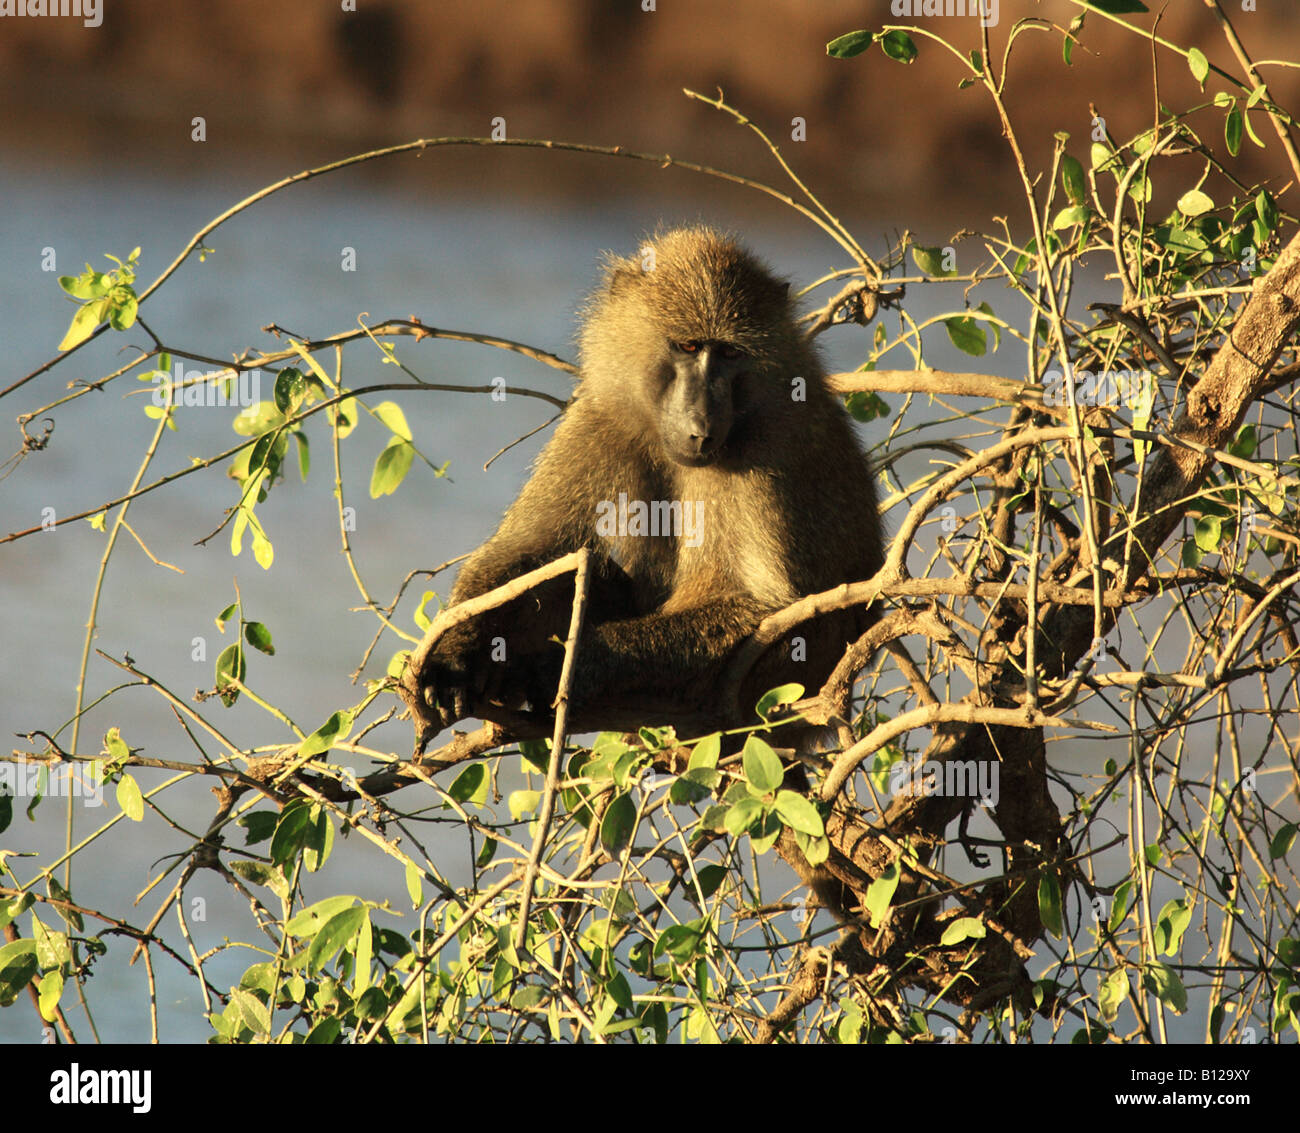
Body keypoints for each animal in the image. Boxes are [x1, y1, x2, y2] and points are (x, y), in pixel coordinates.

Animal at [413, 226, 885, 739]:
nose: (702, 424)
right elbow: (530, 549)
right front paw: (453, 656)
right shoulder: (600, 413)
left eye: (730, 353)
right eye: (688, 347)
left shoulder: (769, 446)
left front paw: (558, 668)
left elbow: (764, 604)